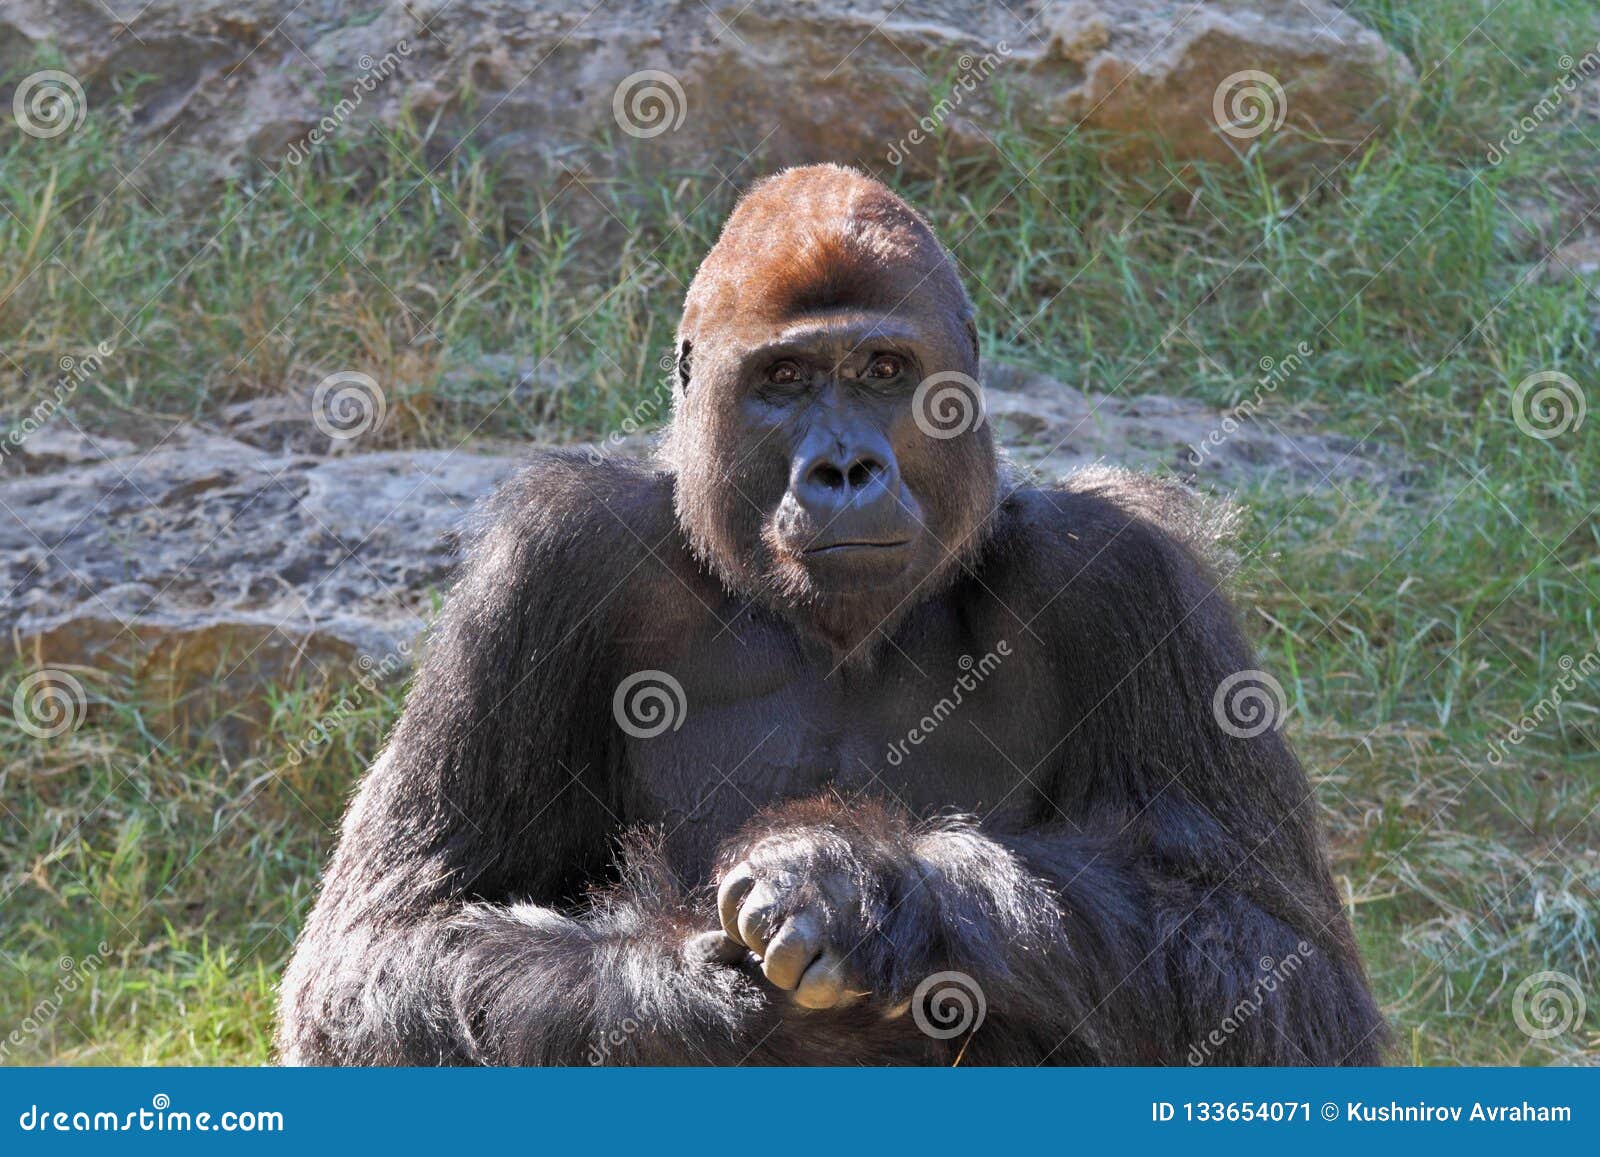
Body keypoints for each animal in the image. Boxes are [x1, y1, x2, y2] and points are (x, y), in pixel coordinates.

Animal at [276, 163, 1387, 1066]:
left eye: (885, 372)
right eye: (785, 379)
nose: (844, 468)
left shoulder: (1121, 568)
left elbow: (1280, 969)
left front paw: (877, 892)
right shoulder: (551, 561)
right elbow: (383, 948)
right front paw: (678, 992)